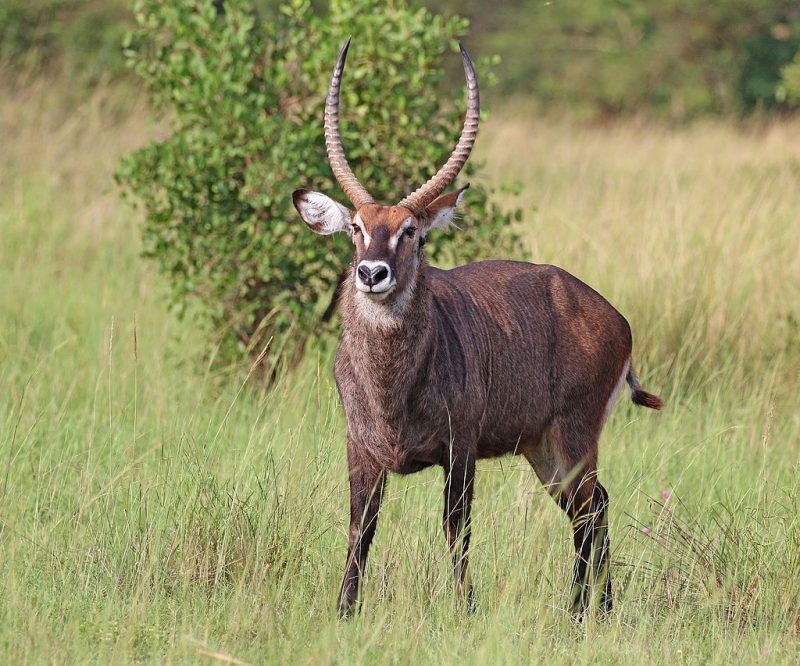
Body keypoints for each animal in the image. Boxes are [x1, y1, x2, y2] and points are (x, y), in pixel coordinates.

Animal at [292, 39, 662, 618]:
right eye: (355, 227)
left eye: (412, 231)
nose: (372, 273)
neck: (392, 384)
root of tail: (611, 314)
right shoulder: (361, 449)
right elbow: (360, 529)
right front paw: (344, 611)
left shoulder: (460, 449)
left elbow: (456, 528)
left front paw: (464, 609)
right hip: (543, 448)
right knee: (593, 506)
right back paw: (594, 608)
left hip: (575, 436)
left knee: (590, 510)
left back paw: (581, 610)